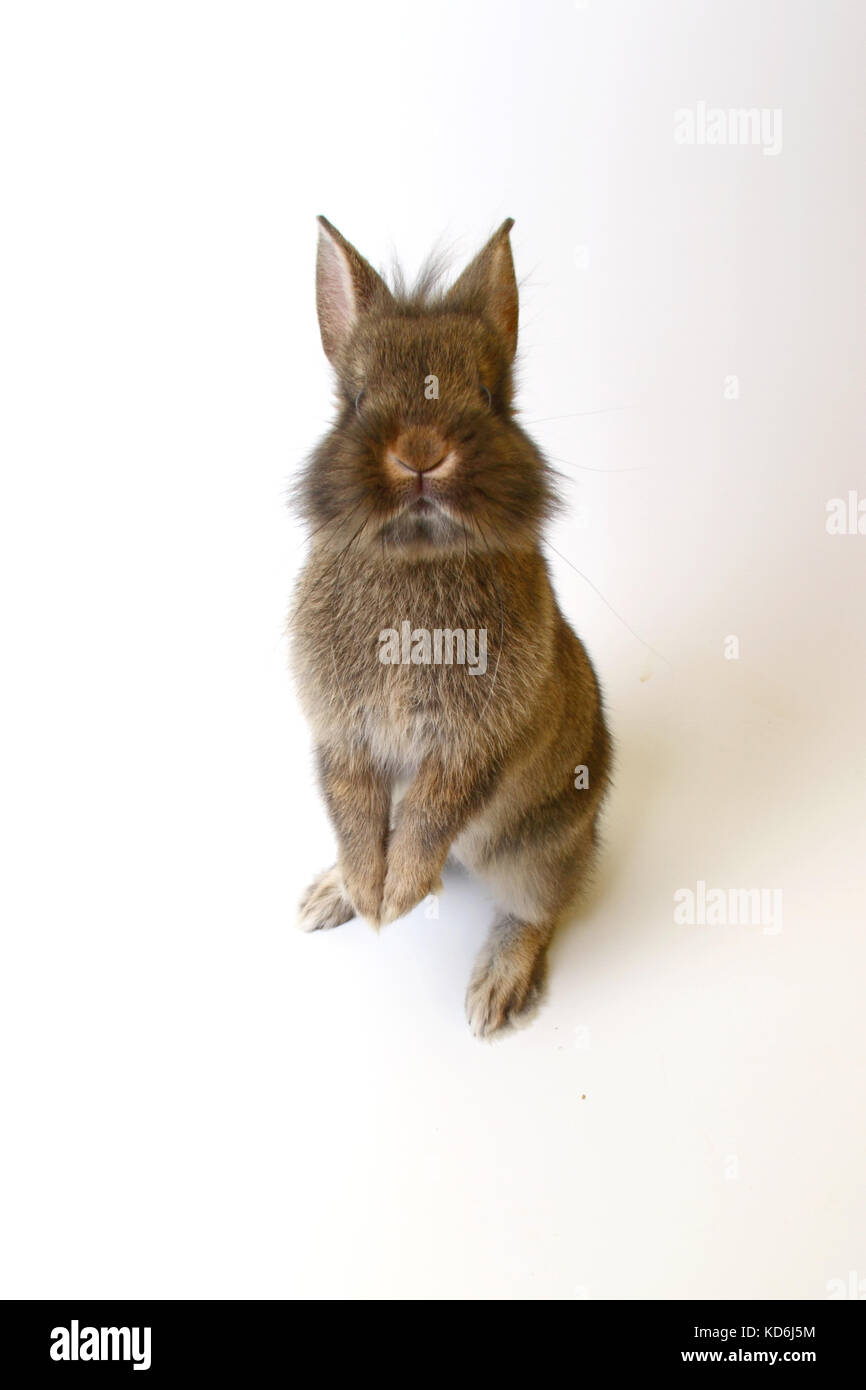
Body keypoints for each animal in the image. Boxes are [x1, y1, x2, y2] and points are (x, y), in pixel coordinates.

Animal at [290, 216, 611, 1037]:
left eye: (492, 396)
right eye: (357, 399)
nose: (422, 452)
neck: (417, 555)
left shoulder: (474, 745)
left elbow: (433, 814)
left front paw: (398, 897)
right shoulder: (343, 735)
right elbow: (352, 808)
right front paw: (367, 894)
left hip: (536, 848)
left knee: (540, 908)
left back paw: (495, 992)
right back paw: (329, 894)